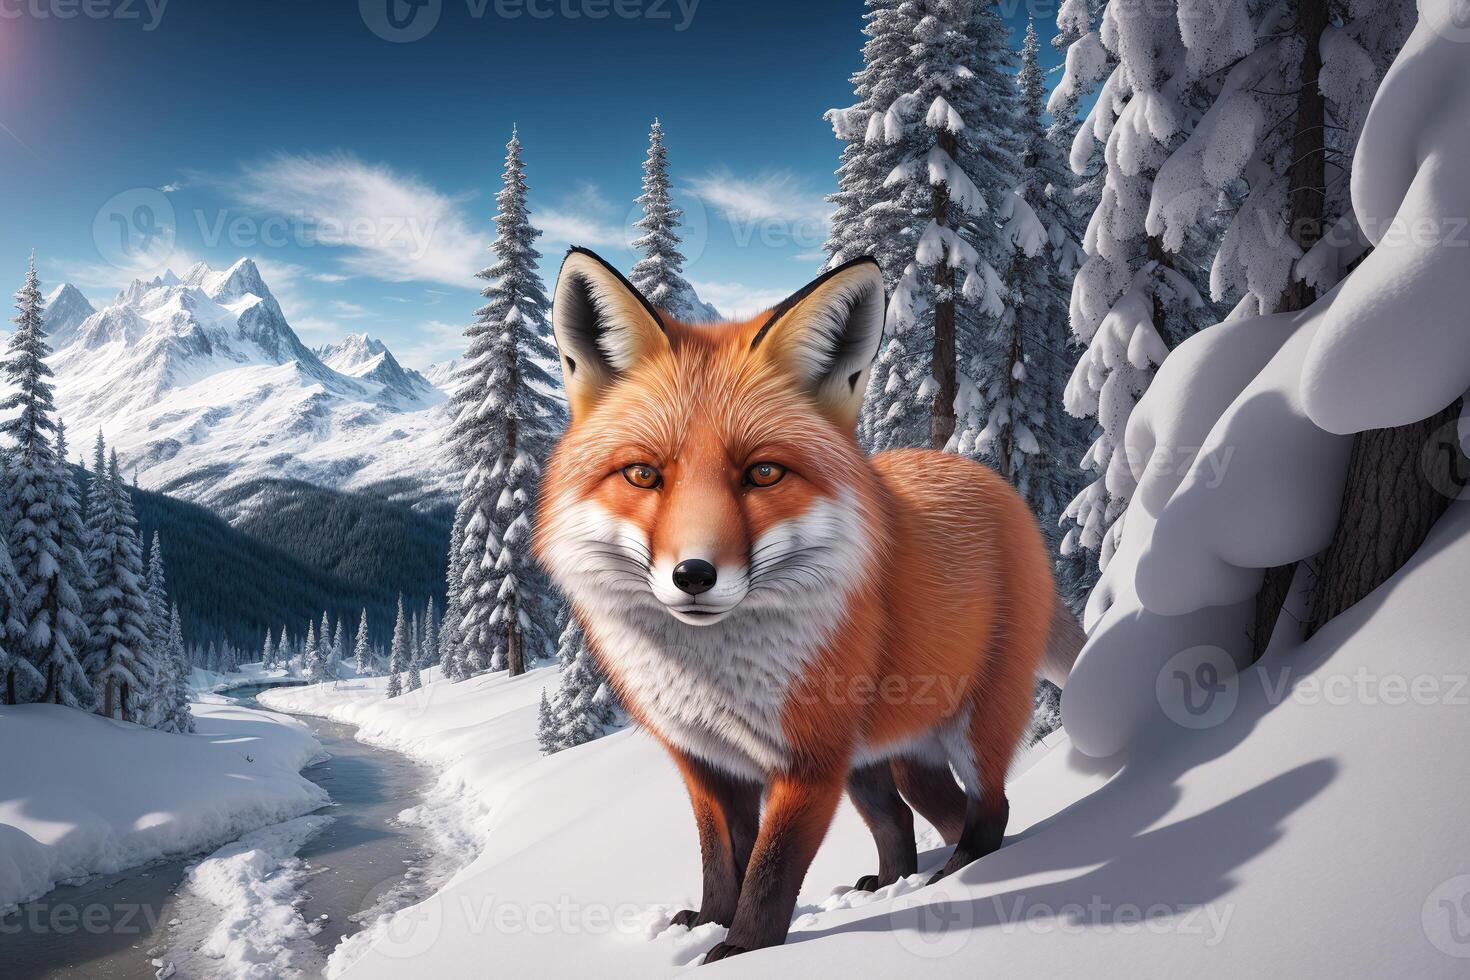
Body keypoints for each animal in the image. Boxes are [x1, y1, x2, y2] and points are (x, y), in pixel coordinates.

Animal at [533, 247, 1085, 962]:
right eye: (643, 475)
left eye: (764, 473)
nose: (693, 575)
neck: (714, 680)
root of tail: (993, 481)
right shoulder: (707, 764)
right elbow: (721, 861)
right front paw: (709, 922)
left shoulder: (810, 763)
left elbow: (771, 871)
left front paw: (743, 951)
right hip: (889, 759)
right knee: (912, 817)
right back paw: (897, 881)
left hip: (970, 728)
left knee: (990, 813)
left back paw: (956, 876)